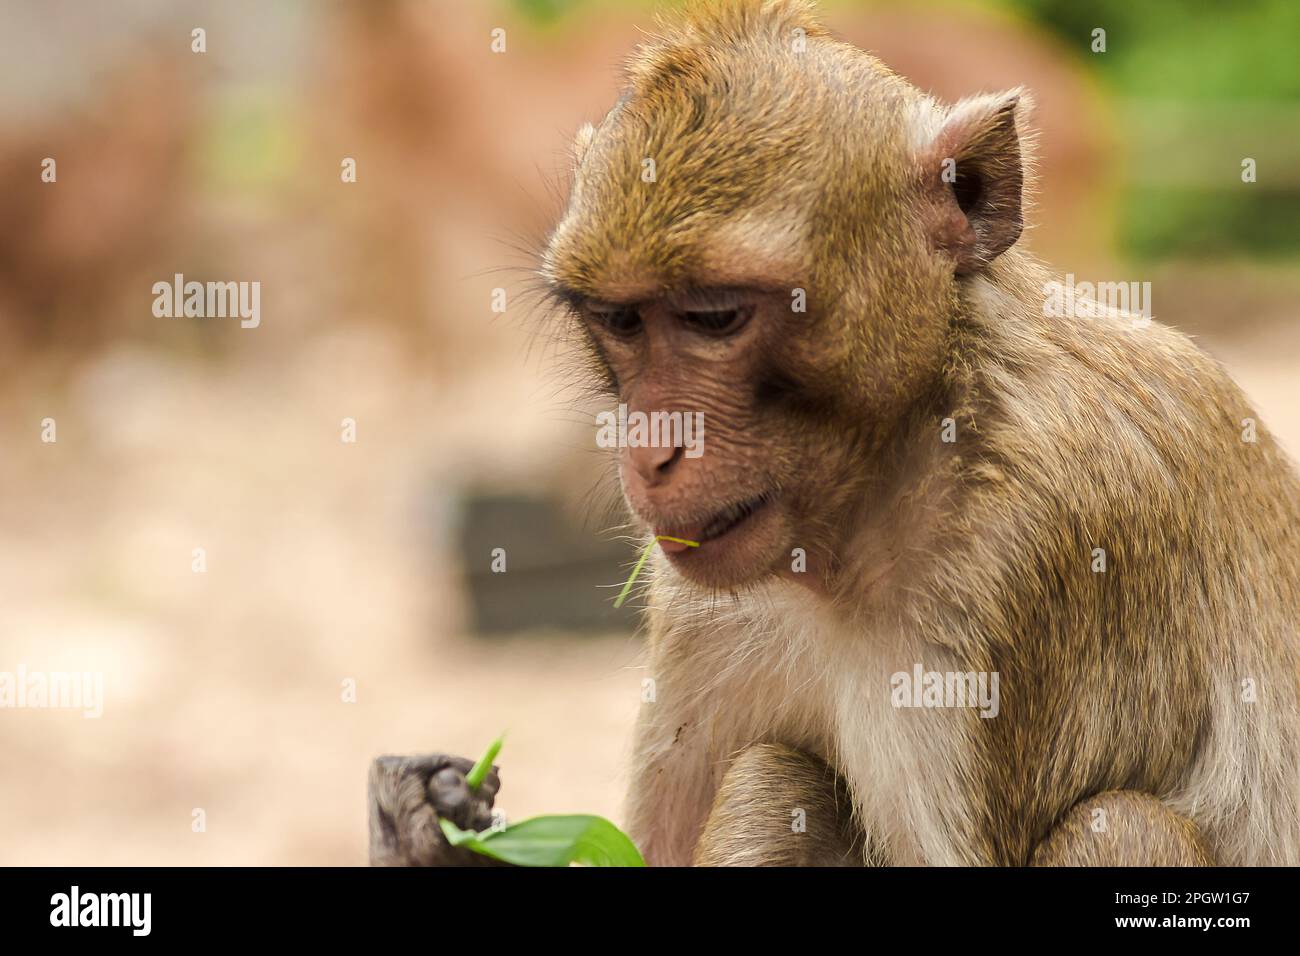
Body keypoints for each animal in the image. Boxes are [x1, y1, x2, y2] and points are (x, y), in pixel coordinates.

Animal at [371, 0, 1300, 867]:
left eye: (714, 317)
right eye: (622, 322)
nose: (651, 449)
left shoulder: (1042, 544)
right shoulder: (705, 600)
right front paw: (423, 828)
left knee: (1119, 825)